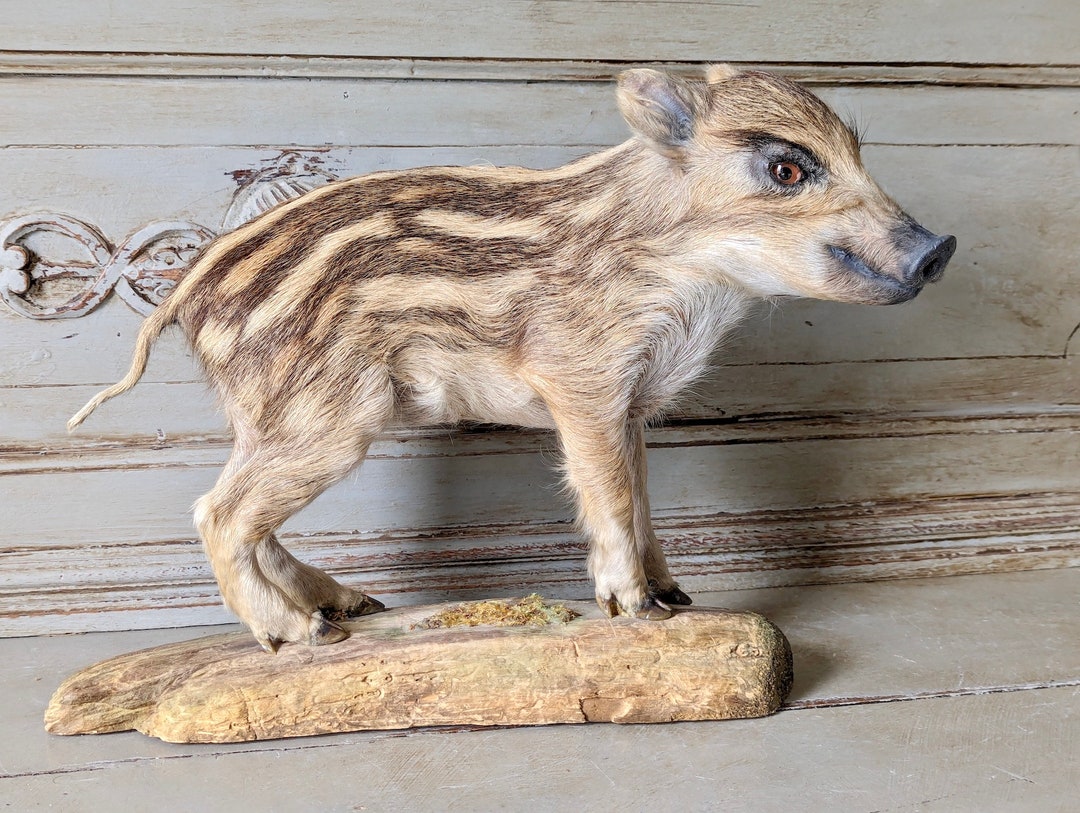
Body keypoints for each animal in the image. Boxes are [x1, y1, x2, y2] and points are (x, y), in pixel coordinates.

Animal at [69, 65, 956, 651]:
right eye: (786, 168)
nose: (939, 246)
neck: (684, 275)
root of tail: (189, 294)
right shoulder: (582, 380)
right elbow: (608, 495)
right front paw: (636, 611)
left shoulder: (630, 402)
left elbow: (639, 495)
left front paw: (677, 597)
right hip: (326, 417)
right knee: (217, 514)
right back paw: (297, 635)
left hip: (280, 418)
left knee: (249, 520)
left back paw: (349, 606)